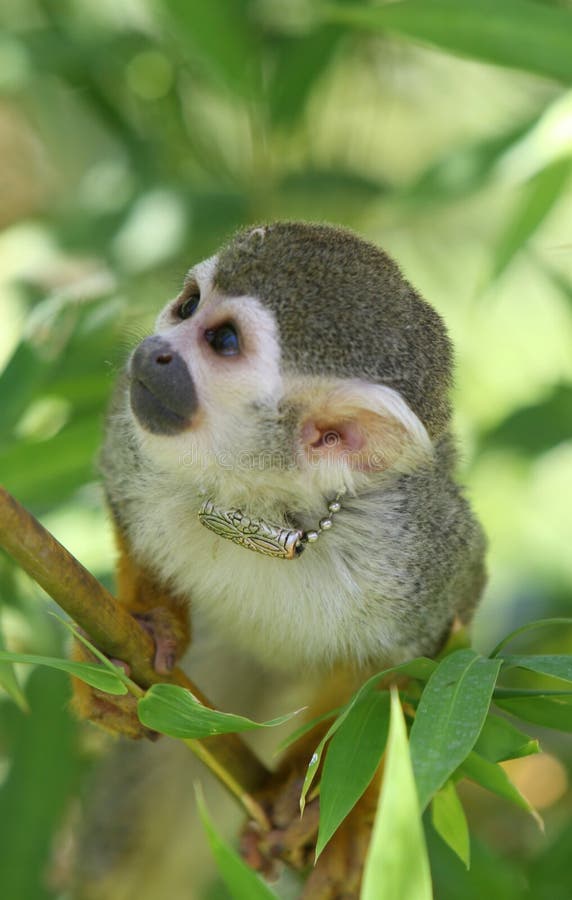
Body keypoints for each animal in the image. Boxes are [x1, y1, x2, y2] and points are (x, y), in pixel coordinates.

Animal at [71, 221, 486, 899]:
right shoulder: (134, 437)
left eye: (222, 341)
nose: (155, 350)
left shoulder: (417, 550)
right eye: (188, 305)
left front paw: (316, 801)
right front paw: (134, 634)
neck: (266, 502)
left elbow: (422, 660)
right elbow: (121, 493)